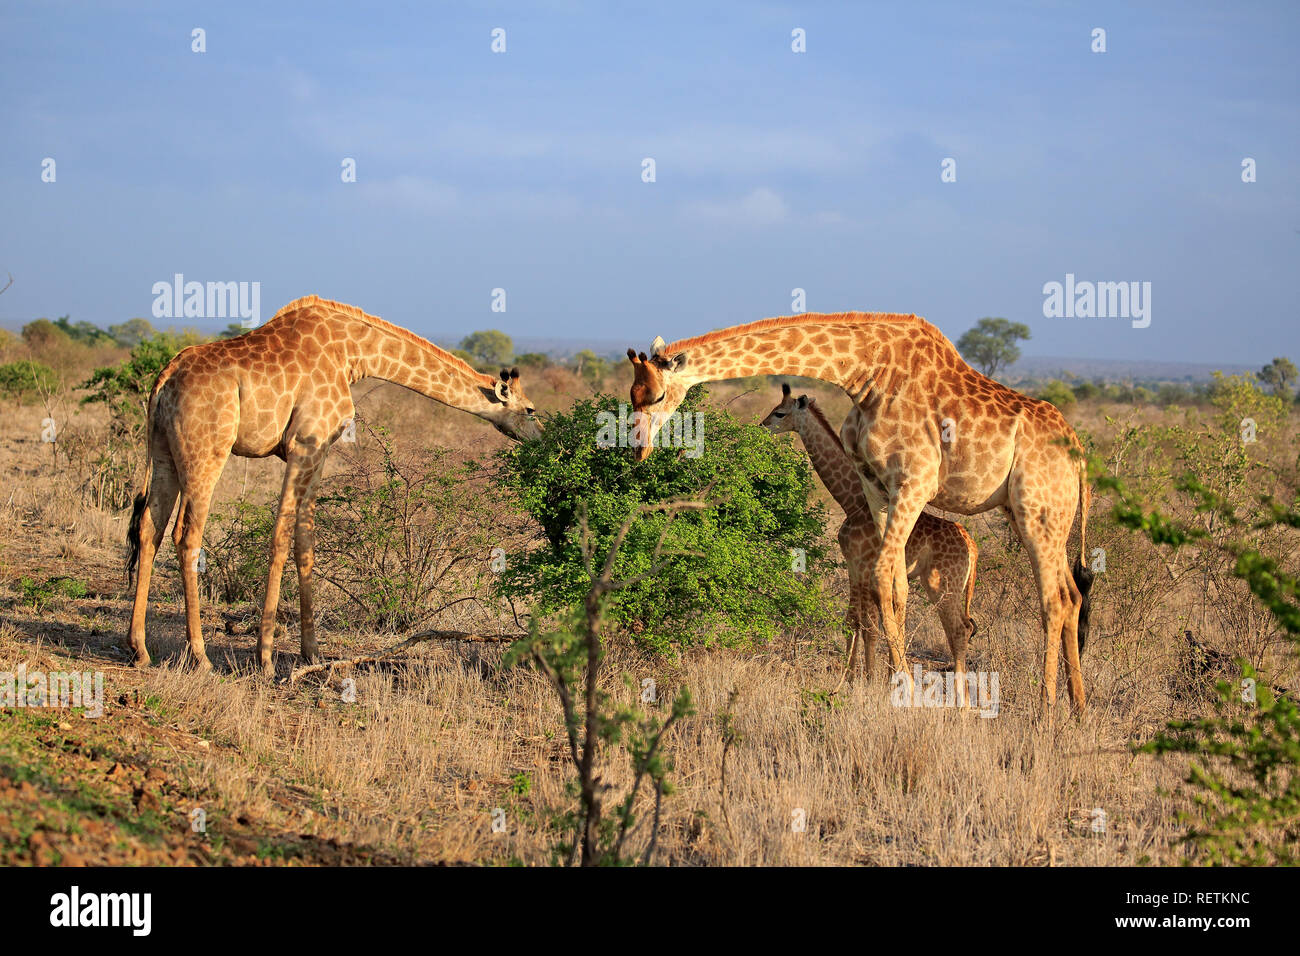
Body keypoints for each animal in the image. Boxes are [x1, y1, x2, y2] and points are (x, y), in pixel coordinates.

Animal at [125, 295, 541, 676]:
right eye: (531, 410)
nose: (540, 439)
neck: (354, 354)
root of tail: (164, 379)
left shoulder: (319, 451)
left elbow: (305, 542)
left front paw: (311, 652)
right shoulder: (304, 444)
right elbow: (280, 538)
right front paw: (265, 659)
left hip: (162, 449)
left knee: (149, 528)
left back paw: (139, 649)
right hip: (208, 450)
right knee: (187, 534)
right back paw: (200, 656)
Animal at [760, 384, 979, 698]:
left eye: (780, 412)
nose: (762, 425)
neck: (851, 501)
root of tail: (972, 546)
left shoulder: (861, 565)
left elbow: (864, 624)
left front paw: (858, 681)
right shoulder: (855, 567)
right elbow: (860, 622)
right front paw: (860, 680)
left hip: (942, 584)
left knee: (959, 629)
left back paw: (959, 702)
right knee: (963, 627)